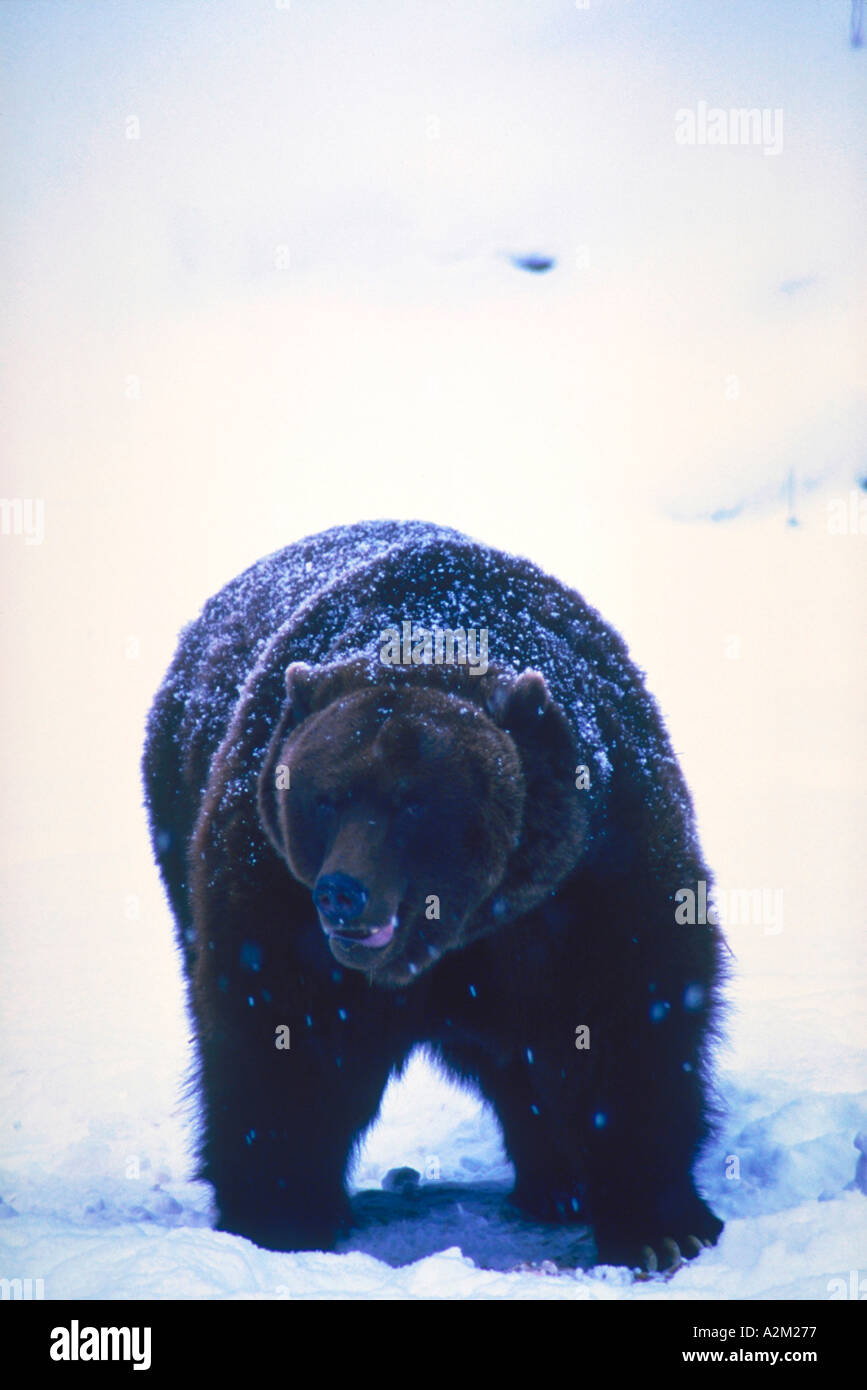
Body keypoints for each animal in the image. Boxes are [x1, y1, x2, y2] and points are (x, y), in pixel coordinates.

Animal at [143, 519, 726, 1271]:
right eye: (325, 797)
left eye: (412, 803)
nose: (341, 893)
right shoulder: (266, 885)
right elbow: (279, 1039)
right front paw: (279, 1217)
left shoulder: (594, 872)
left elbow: (628, 1019)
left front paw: (661, 1226)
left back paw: (556, 1183)